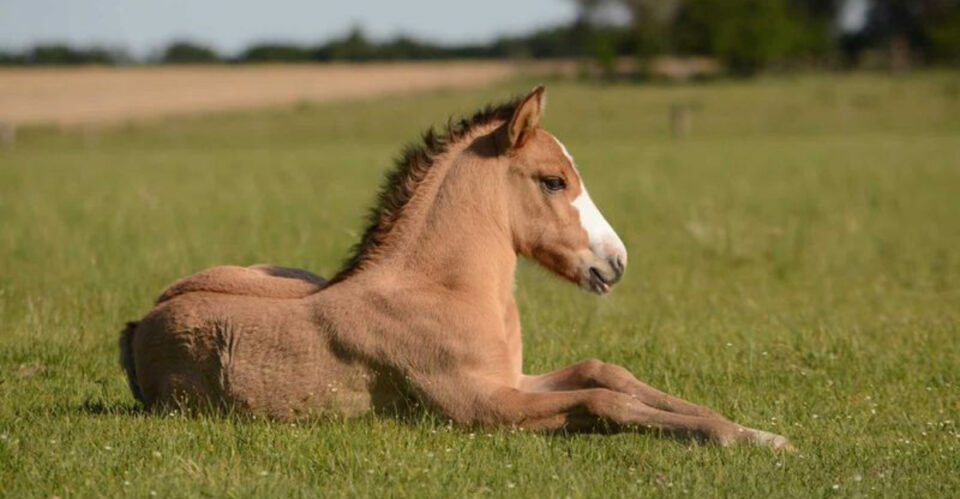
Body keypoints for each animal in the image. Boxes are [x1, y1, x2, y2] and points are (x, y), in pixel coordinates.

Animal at [119, 86, 791, 449]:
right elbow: (604, 402)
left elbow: (607, 373)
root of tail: (139, 322)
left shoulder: (512, 380)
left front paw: (750, 429)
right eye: (553, 180)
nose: (616, 262)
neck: (441, 291)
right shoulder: (480, 406)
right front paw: (744, 438)